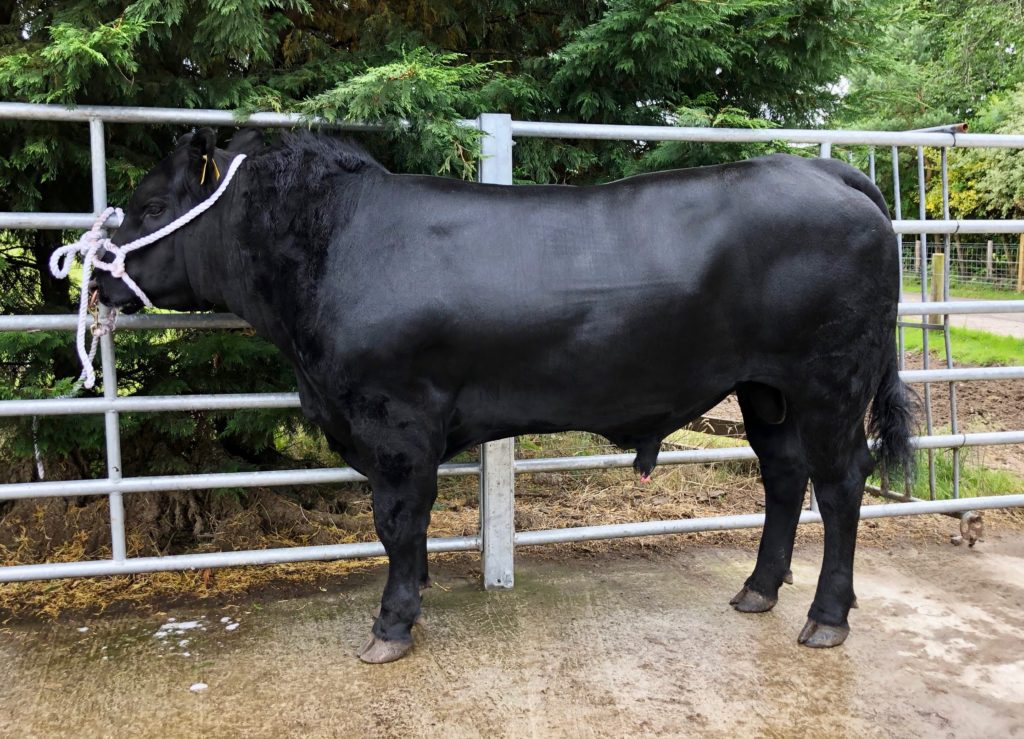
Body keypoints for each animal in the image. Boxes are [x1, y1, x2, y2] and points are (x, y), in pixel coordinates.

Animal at [92, 127, 915, 663]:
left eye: (150, 204)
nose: (94, 276)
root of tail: (826, 171)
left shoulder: (396, 421)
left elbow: (396, 521)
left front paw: (392, 624)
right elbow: (406, 529)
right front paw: (417, 595)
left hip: (830, 380)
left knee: (842, 483)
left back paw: (826, 617)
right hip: (764, 388)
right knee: (783, 474)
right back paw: (758, 589)